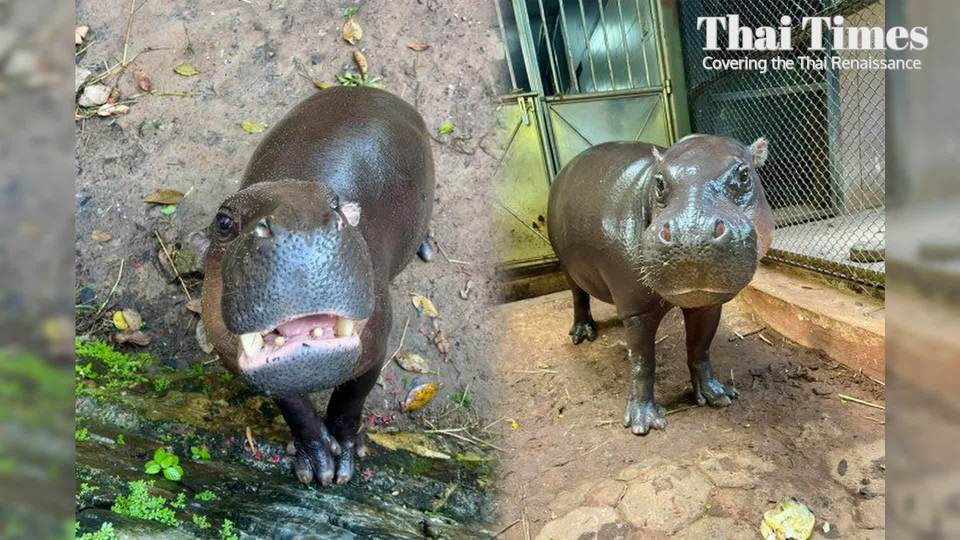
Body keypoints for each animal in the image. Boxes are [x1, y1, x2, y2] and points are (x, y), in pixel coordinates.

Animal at [201, 86, 434, 484]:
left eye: (337, 205)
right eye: (224, 221)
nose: (300, 227)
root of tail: (372, 90)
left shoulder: (375, 349)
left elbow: (348, 403)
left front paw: (344, 462)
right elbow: (295, 408)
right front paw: (317, 463)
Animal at [547, 135, 773, 435]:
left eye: (745, 174)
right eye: (659, 182)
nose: (692, 234)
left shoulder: (708, 305)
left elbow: (700, 349)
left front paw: (718, 395)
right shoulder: (637, 311)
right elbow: (643, 362)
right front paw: (644, 423)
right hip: (566, 266)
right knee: (578, 296)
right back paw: (582, 334)